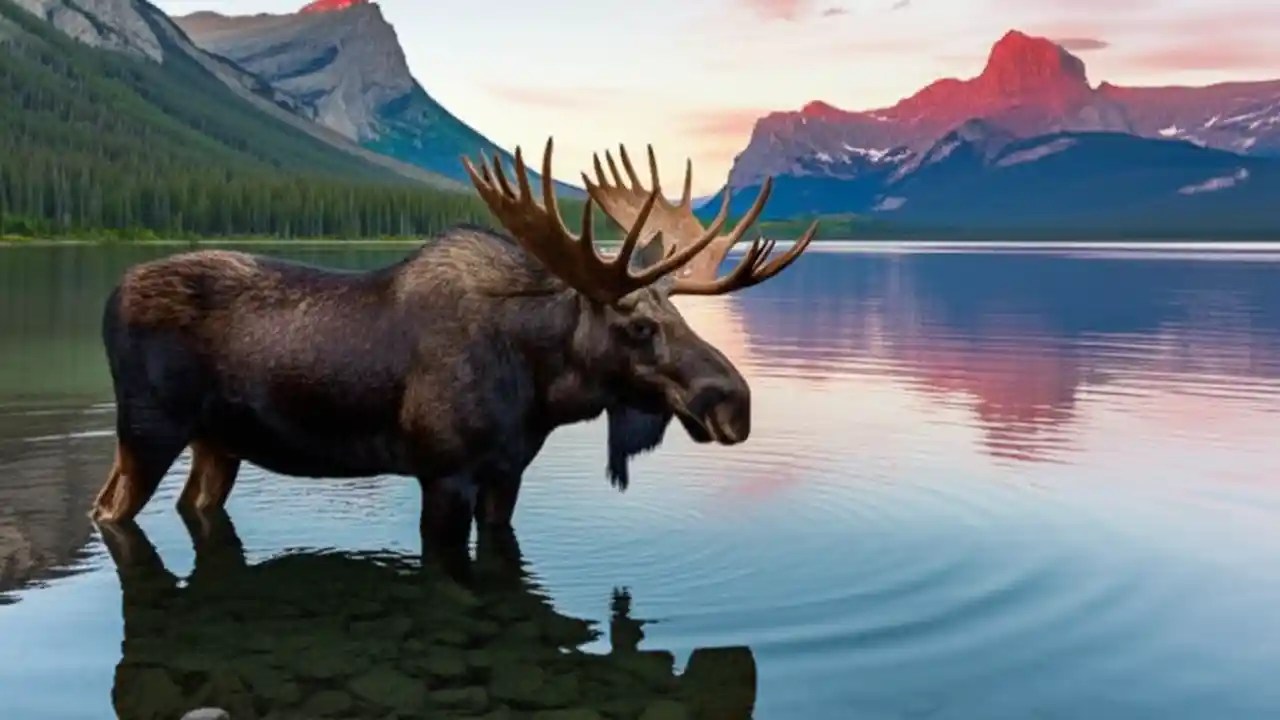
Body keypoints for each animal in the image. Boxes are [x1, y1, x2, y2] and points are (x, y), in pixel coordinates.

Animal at [89, 138, 818, 551]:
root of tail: (111, 293)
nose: (735, 402)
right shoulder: (443, 474)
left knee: (190, 503)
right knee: (108, 509)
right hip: (147, 431)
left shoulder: (505, 474)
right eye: (639, 326)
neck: (540, 387)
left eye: (679, 315)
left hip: (219, 443)